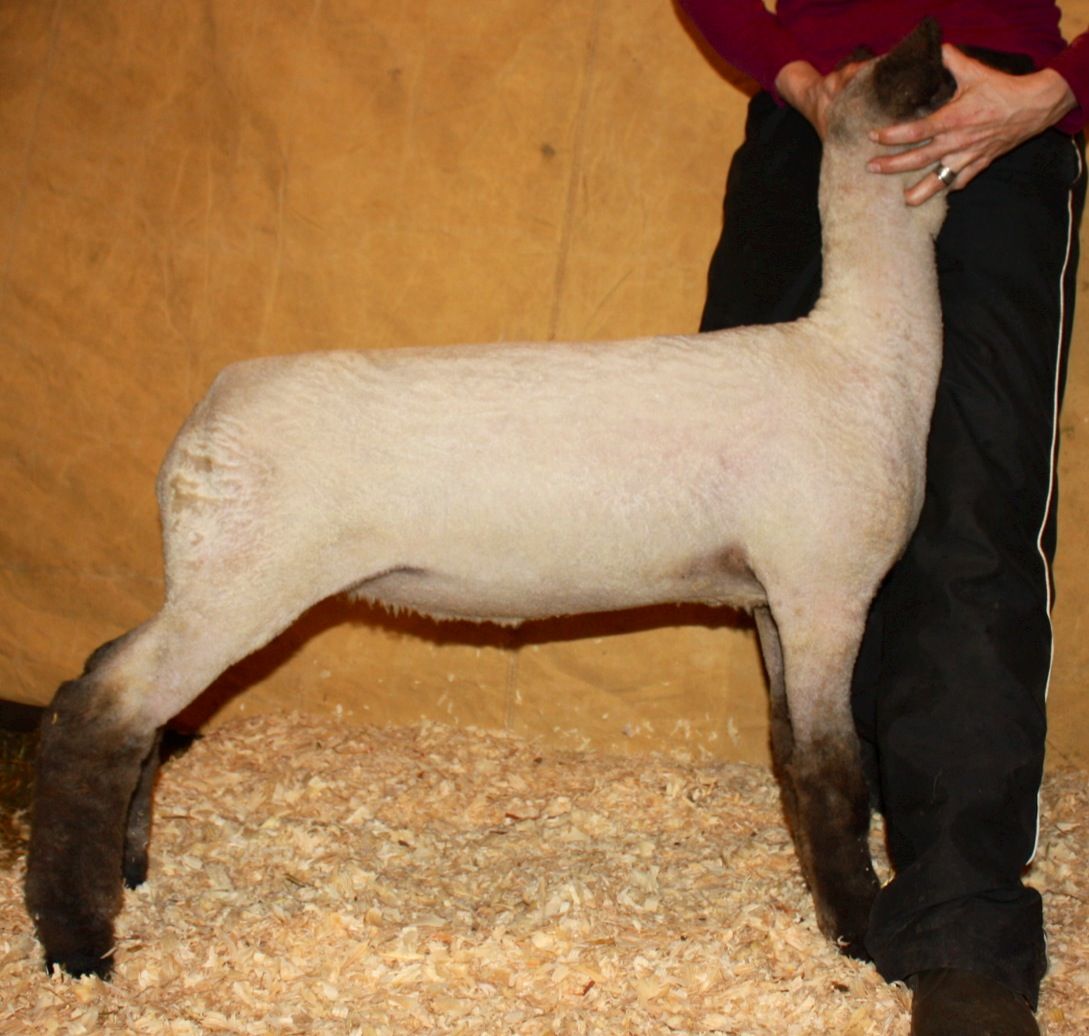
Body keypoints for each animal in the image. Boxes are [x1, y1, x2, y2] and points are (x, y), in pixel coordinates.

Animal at [25, 21, 955, 980]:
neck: (858, 353)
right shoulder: (825, 585)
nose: (938, 38)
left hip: (212, 575)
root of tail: (201, 426)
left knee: (114, 684)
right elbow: (830, 768)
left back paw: (130, 868)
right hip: (246, 578)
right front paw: (861, 935)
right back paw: (77, 945)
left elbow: (785, 747)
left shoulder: (771, 597)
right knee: (103, 710)